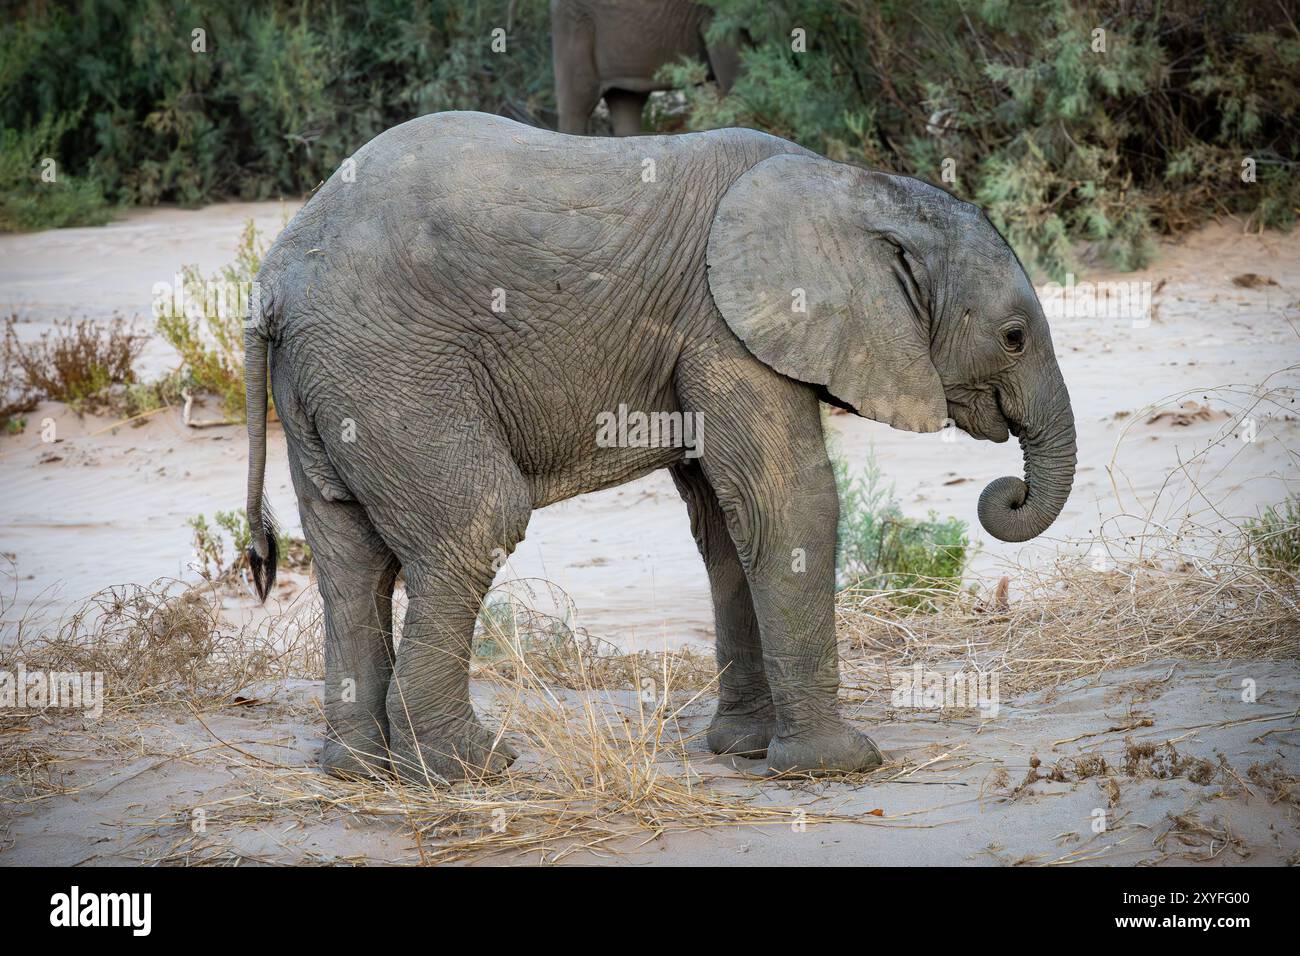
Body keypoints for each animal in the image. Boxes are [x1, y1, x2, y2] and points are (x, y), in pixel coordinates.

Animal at [243, 111, 1076, 785]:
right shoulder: (724, 330)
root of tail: (272, 278)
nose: (1004, 492)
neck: (852, 187)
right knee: (475, 523)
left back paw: (359, 769)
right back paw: (468, 768)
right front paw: (836, 765)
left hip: (332, 385)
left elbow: (727, 526)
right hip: (391, 370)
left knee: (352, 561)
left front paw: (744, 749)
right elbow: (787, 504)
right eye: (1013, 337)